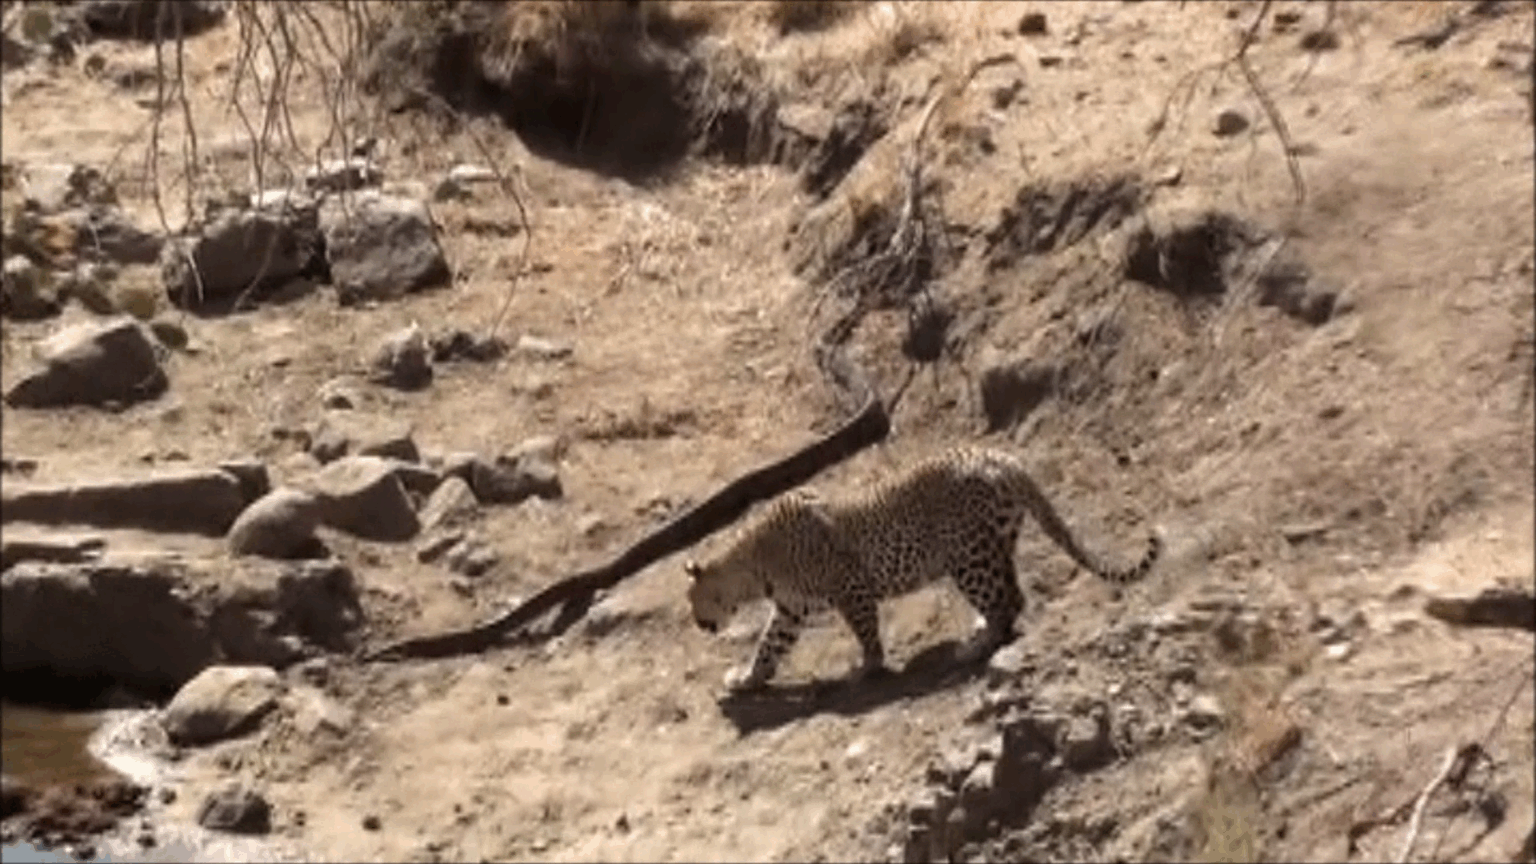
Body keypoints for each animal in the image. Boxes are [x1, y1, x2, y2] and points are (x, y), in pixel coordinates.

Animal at [684, 446, 1163, 693]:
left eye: (693, 601)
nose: (699, 625)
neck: (754, 567)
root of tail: (1002, 457)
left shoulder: (851, 588)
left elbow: (866, 633)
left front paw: (867, 669)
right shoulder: (789, 609)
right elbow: (769, 645)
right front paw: (748, 678)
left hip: (967, 556)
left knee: (1005, 602)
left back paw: (974, 646)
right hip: (995, 546)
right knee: (1013, 595)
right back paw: (981, 630)